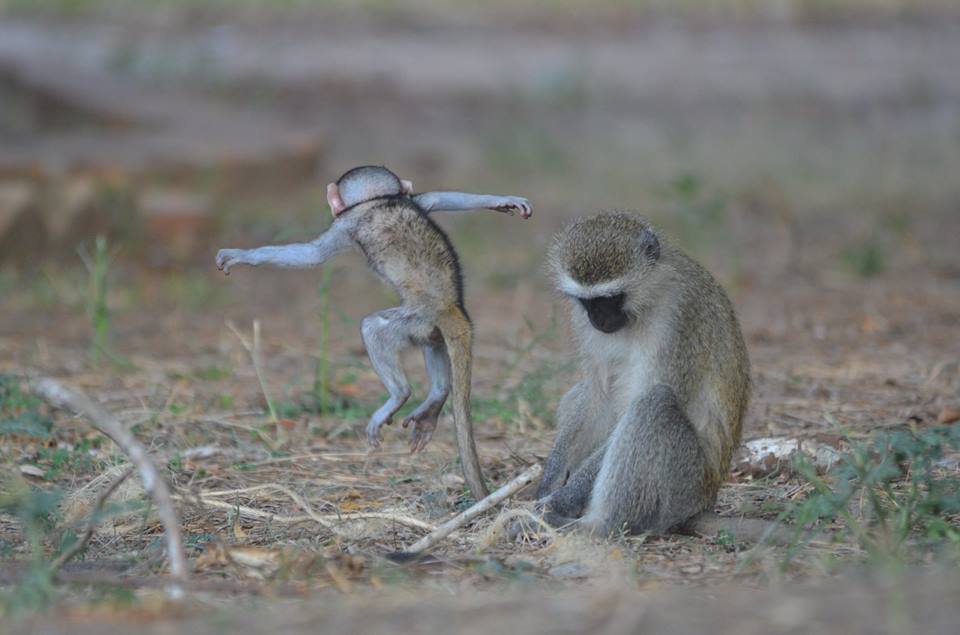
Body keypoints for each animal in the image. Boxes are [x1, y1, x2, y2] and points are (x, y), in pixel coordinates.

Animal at [216, 165, 531, 500]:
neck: (378, 200)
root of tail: (451, 307)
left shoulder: (345, 224)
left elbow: (311, 254)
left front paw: (241, 255)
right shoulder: (411, 200)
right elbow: (437, 197)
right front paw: (503, 201)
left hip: (415, 319)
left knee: (373, 327)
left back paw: (399, 394)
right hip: (429, 325)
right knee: (432, 344)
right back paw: (437, 394)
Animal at [531, 211, 756, 539]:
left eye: (610, 299)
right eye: (587, 302)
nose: (599, 320)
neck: (648, 298)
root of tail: (705, 501)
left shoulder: (680, 316)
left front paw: (563, 498)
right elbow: (597, 395)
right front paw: (549, 482)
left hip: (684, 486)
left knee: (655, 403)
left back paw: (594, 525)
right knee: (583, 392)